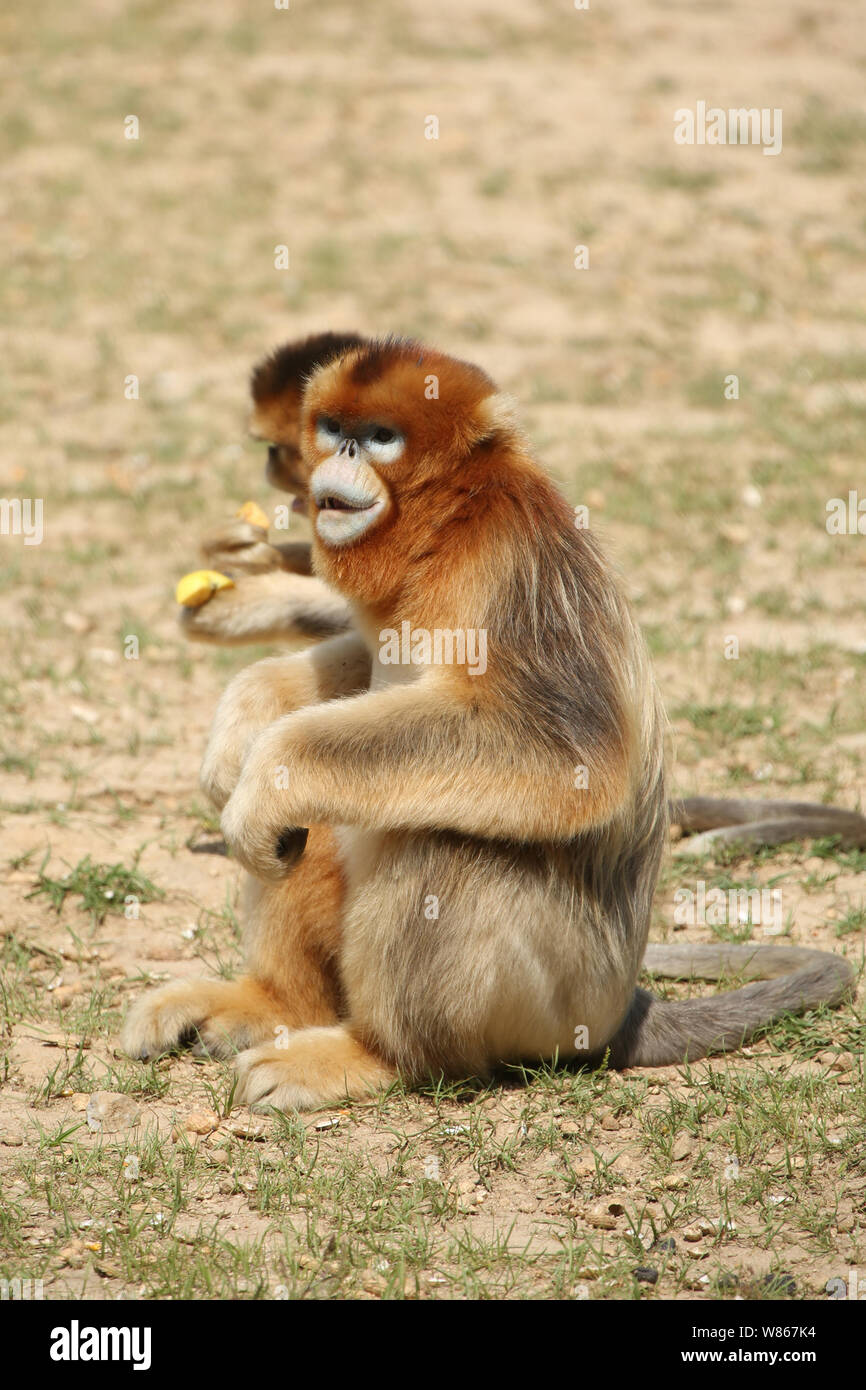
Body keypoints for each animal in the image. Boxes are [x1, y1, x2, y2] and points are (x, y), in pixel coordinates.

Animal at [121, 336, 864, 1111]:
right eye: (333, 428)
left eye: (379, 437)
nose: (343, 453)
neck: (445, 522)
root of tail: (620, 1010)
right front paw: (249, 708)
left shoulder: (507, 558)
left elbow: (568, 754)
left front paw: (269, 762)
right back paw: (274, 1004)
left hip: (555, 1004)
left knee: (442, 841)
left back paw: (380, 1055)